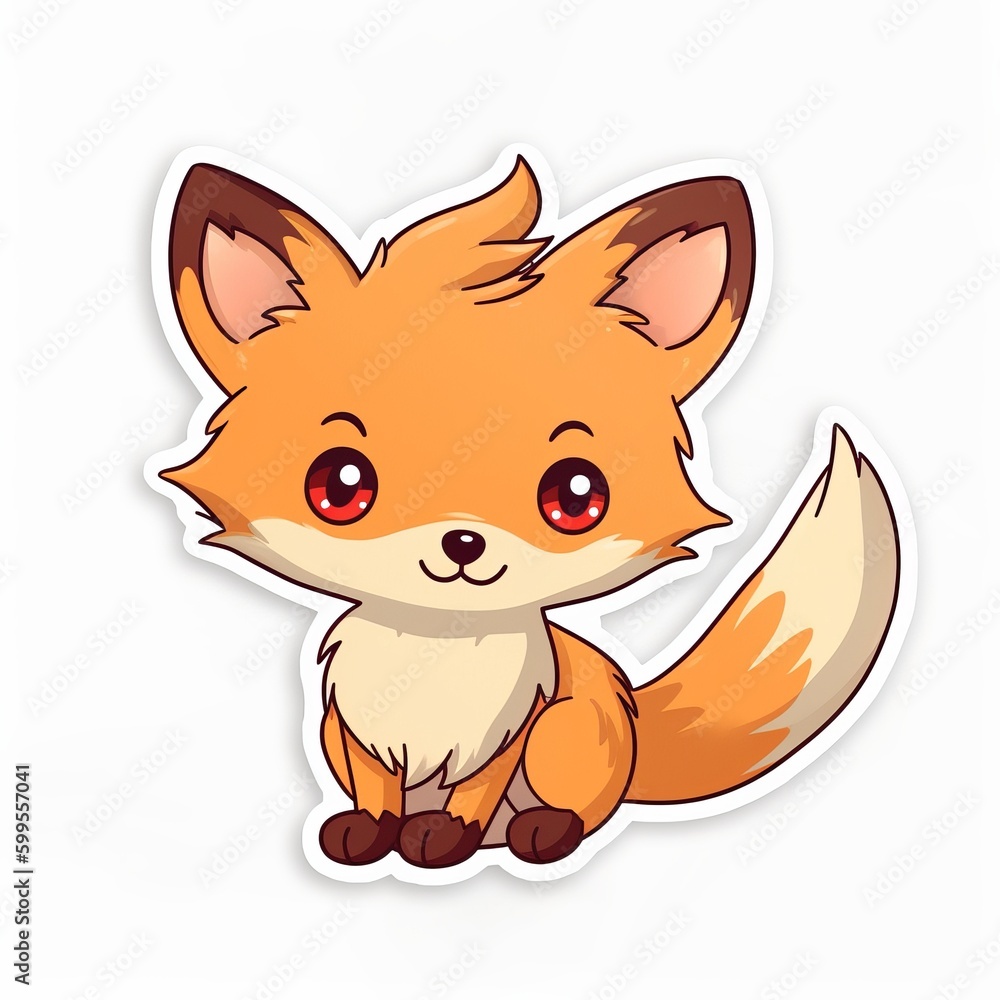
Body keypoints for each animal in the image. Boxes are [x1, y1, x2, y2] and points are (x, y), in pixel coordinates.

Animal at [150, 146, 910, 878]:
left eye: (575, 496)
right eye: (339, 487)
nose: (462, 544)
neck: (439, 649)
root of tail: (634, 724)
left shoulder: (509, 734)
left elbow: (472, 796)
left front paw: (440, 840)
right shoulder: (354, 731)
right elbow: (375, 793)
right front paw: (369, 833)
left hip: (564, 732)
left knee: (575, 808)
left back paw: (539, 832)